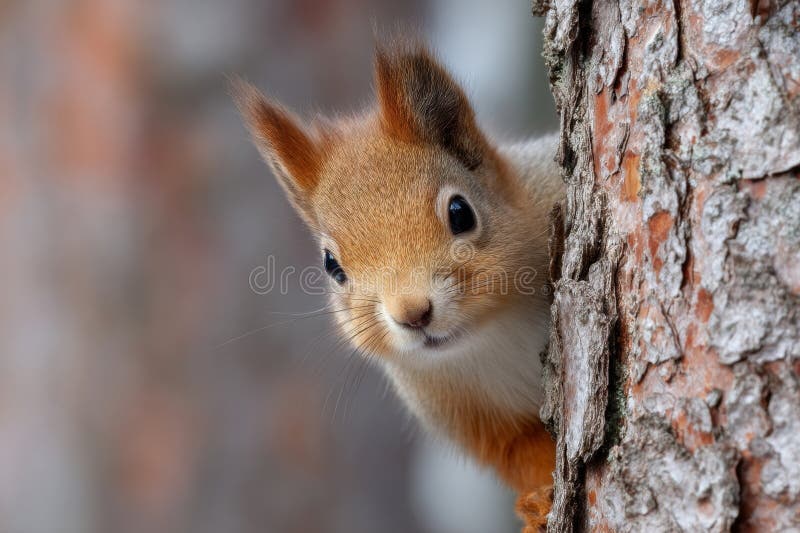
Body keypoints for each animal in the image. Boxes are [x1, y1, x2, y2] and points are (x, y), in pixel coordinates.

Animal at [234, 40, 564, 532]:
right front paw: (539, 503)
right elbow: (526, 455)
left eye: (461, 212)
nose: (412, 313)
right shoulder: (476, 420)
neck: (492, 333)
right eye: (332, 266)